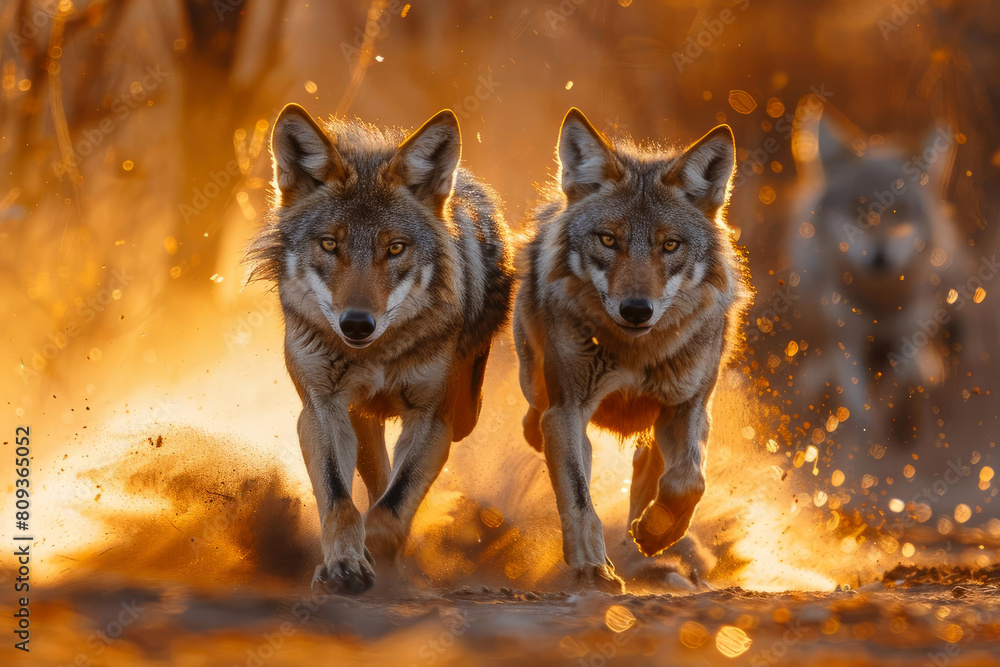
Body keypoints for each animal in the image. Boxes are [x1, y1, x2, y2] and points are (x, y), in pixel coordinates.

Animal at [246, 104, 514, 594]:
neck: (377, 353)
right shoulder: (321, 408)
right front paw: (344, 564)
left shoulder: (435, 418)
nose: (356, 324)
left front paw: (382, 559)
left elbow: (393, 509)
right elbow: (340, 499)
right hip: (360, 416)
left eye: (395, 248)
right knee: (376, 475)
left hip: (466, 412)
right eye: (330, 244)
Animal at [513, 108, 749, 593]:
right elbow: (579, 498)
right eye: (608, 240)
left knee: (653, 463)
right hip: (540, 389)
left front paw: (656, 532)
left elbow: (688, 482)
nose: (637, 309)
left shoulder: (690, 406)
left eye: (670, 245)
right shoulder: (567, 411)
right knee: (538, 424)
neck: (636, 352)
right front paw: (591, 567)